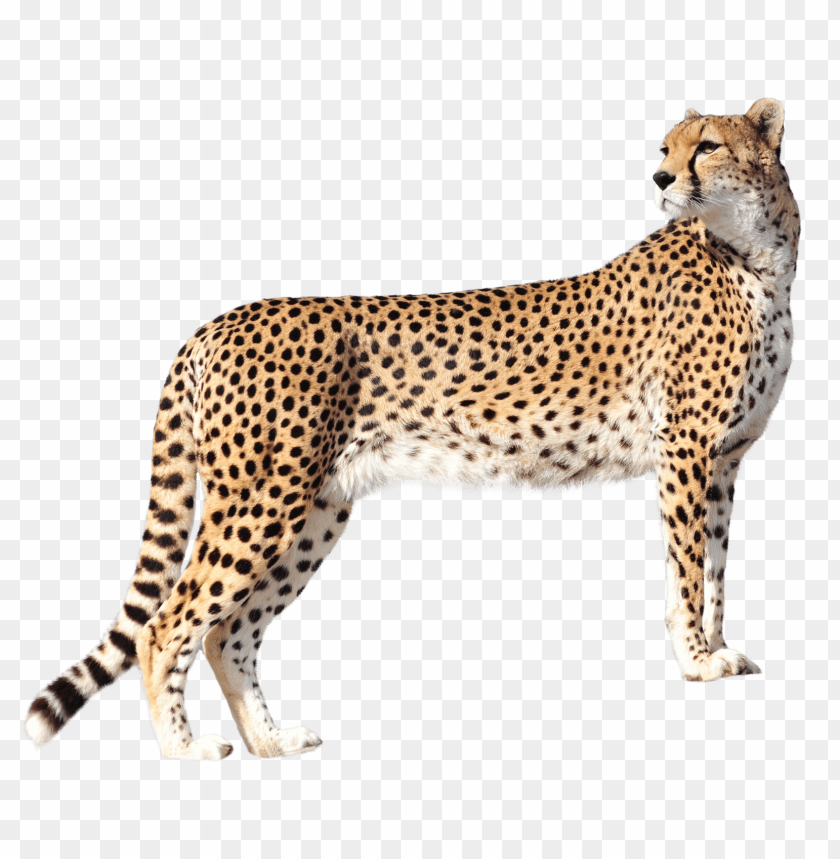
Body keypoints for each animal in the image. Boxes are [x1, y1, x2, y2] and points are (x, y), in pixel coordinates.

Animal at [26, 99, 800, 760]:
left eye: (707, 145)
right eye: (665, 147)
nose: (661, 177)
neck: (758, 254)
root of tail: (217, 322)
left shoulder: (725, 459)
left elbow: (715, 567)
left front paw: (719, 650)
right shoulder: (687, 451)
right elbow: (688, 569)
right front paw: (696, 661)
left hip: (315, 510)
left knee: (227, 633)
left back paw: (271, 741)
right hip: (261, 500)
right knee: (167, 624)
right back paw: (183, 750)